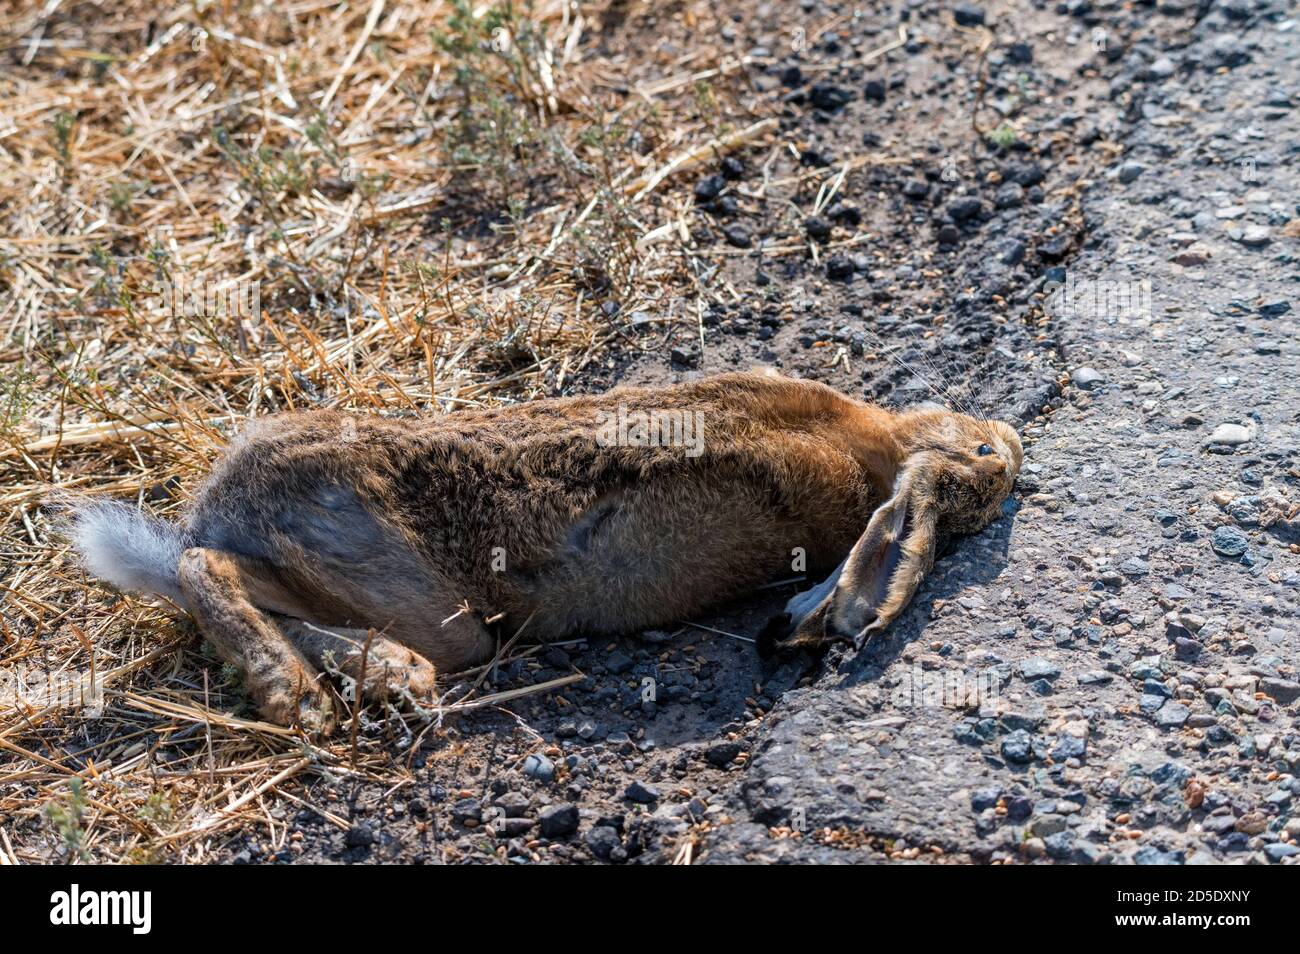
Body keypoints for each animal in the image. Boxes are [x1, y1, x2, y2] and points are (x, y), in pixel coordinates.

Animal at [62, 369, 1022, 733]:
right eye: (981, 459)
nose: (1012, 444)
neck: (875, 446)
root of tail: (215, 511)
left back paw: (392, 680)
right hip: (413, 592)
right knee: (206, 573)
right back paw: (298, 697)